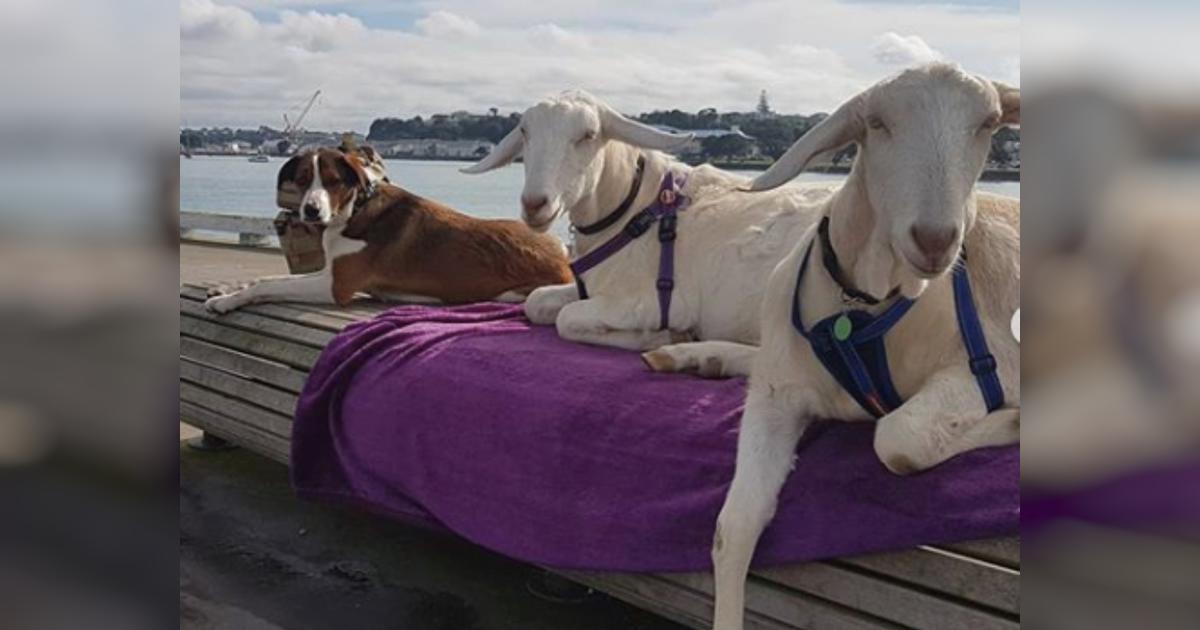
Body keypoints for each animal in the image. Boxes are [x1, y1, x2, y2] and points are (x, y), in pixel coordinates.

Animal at [462, 90, 832, 365]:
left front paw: (666, 334)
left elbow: (566, 318)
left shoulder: (654, 303)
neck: (637, 211)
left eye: (588, 135)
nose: (535, 204)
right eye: (525, 133)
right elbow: (536, 302)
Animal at [678, 64, 1021, 630]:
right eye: (876, 123)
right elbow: (735, 525)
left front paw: (1011, 423)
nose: (935, 240)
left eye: (989, 123)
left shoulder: (989, 363)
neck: (862, 306)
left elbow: (898, 439)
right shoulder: (776, 395)